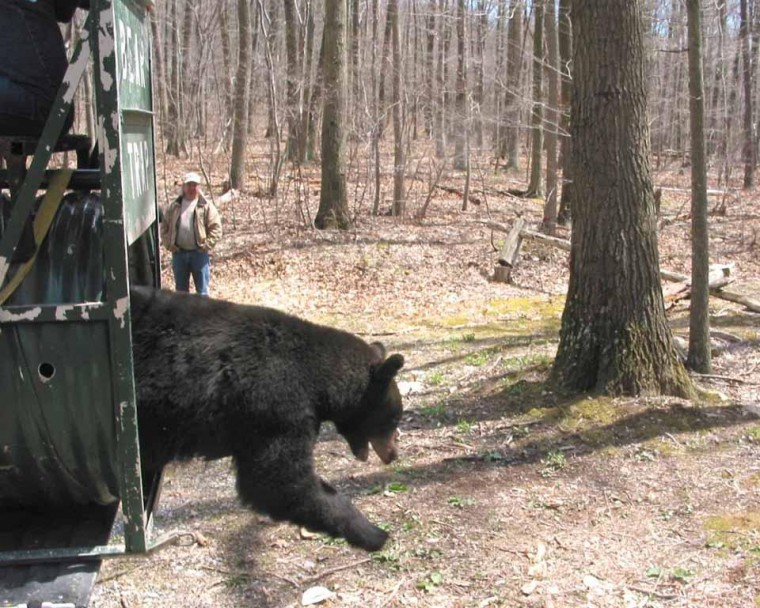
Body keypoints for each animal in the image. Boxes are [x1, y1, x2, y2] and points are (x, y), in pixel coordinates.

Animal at [129, 286, 404, 552]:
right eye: (393, 420)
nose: (393, 455)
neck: (319, 381)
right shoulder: (276, 407)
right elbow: (279, 482)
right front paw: (372, 532)